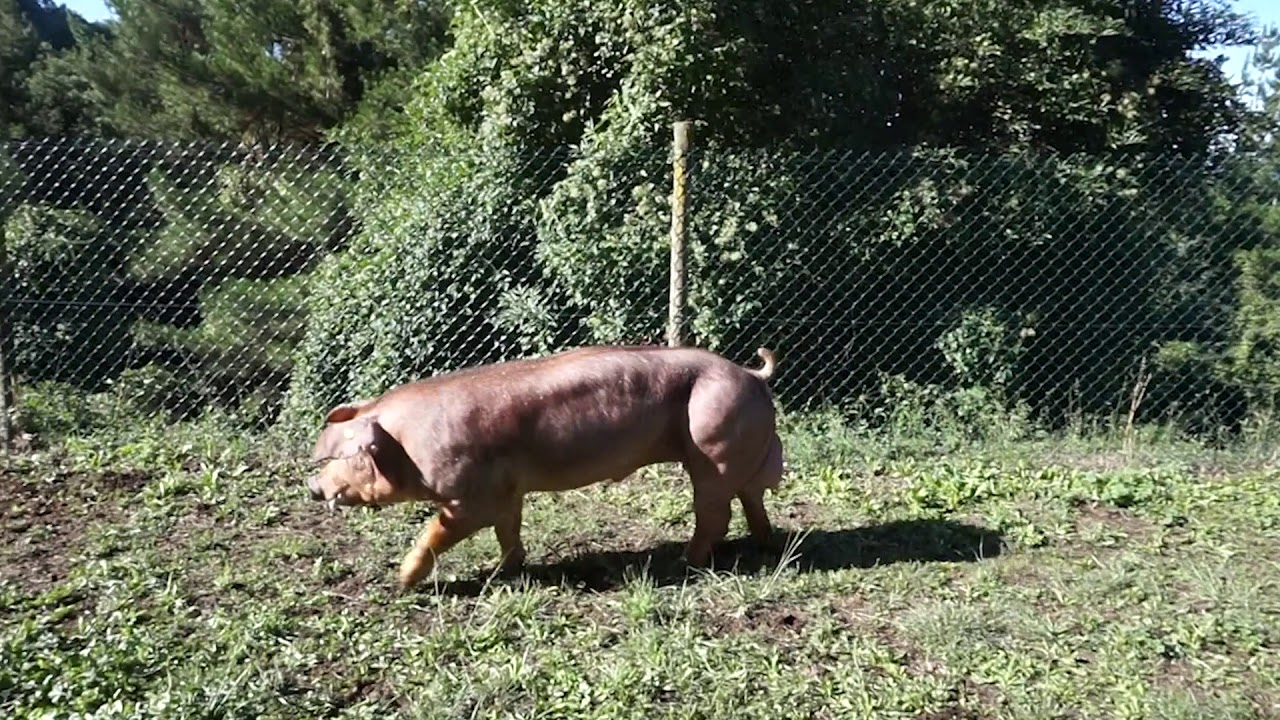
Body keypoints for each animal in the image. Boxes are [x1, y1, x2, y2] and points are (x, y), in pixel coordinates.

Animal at [306, 344, 785, 589]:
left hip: (713, 446)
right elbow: (509, 529)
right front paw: (507, 571)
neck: (408, 444)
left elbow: (436, 532)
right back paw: (764, 545)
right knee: (751, 498)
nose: (312, 486)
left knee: (716, 514)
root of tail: (751, 374)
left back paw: (684, 564)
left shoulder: (469, 497)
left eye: (344, 457)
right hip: (740, 451)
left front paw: (401, 583)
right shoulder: (507, 491)